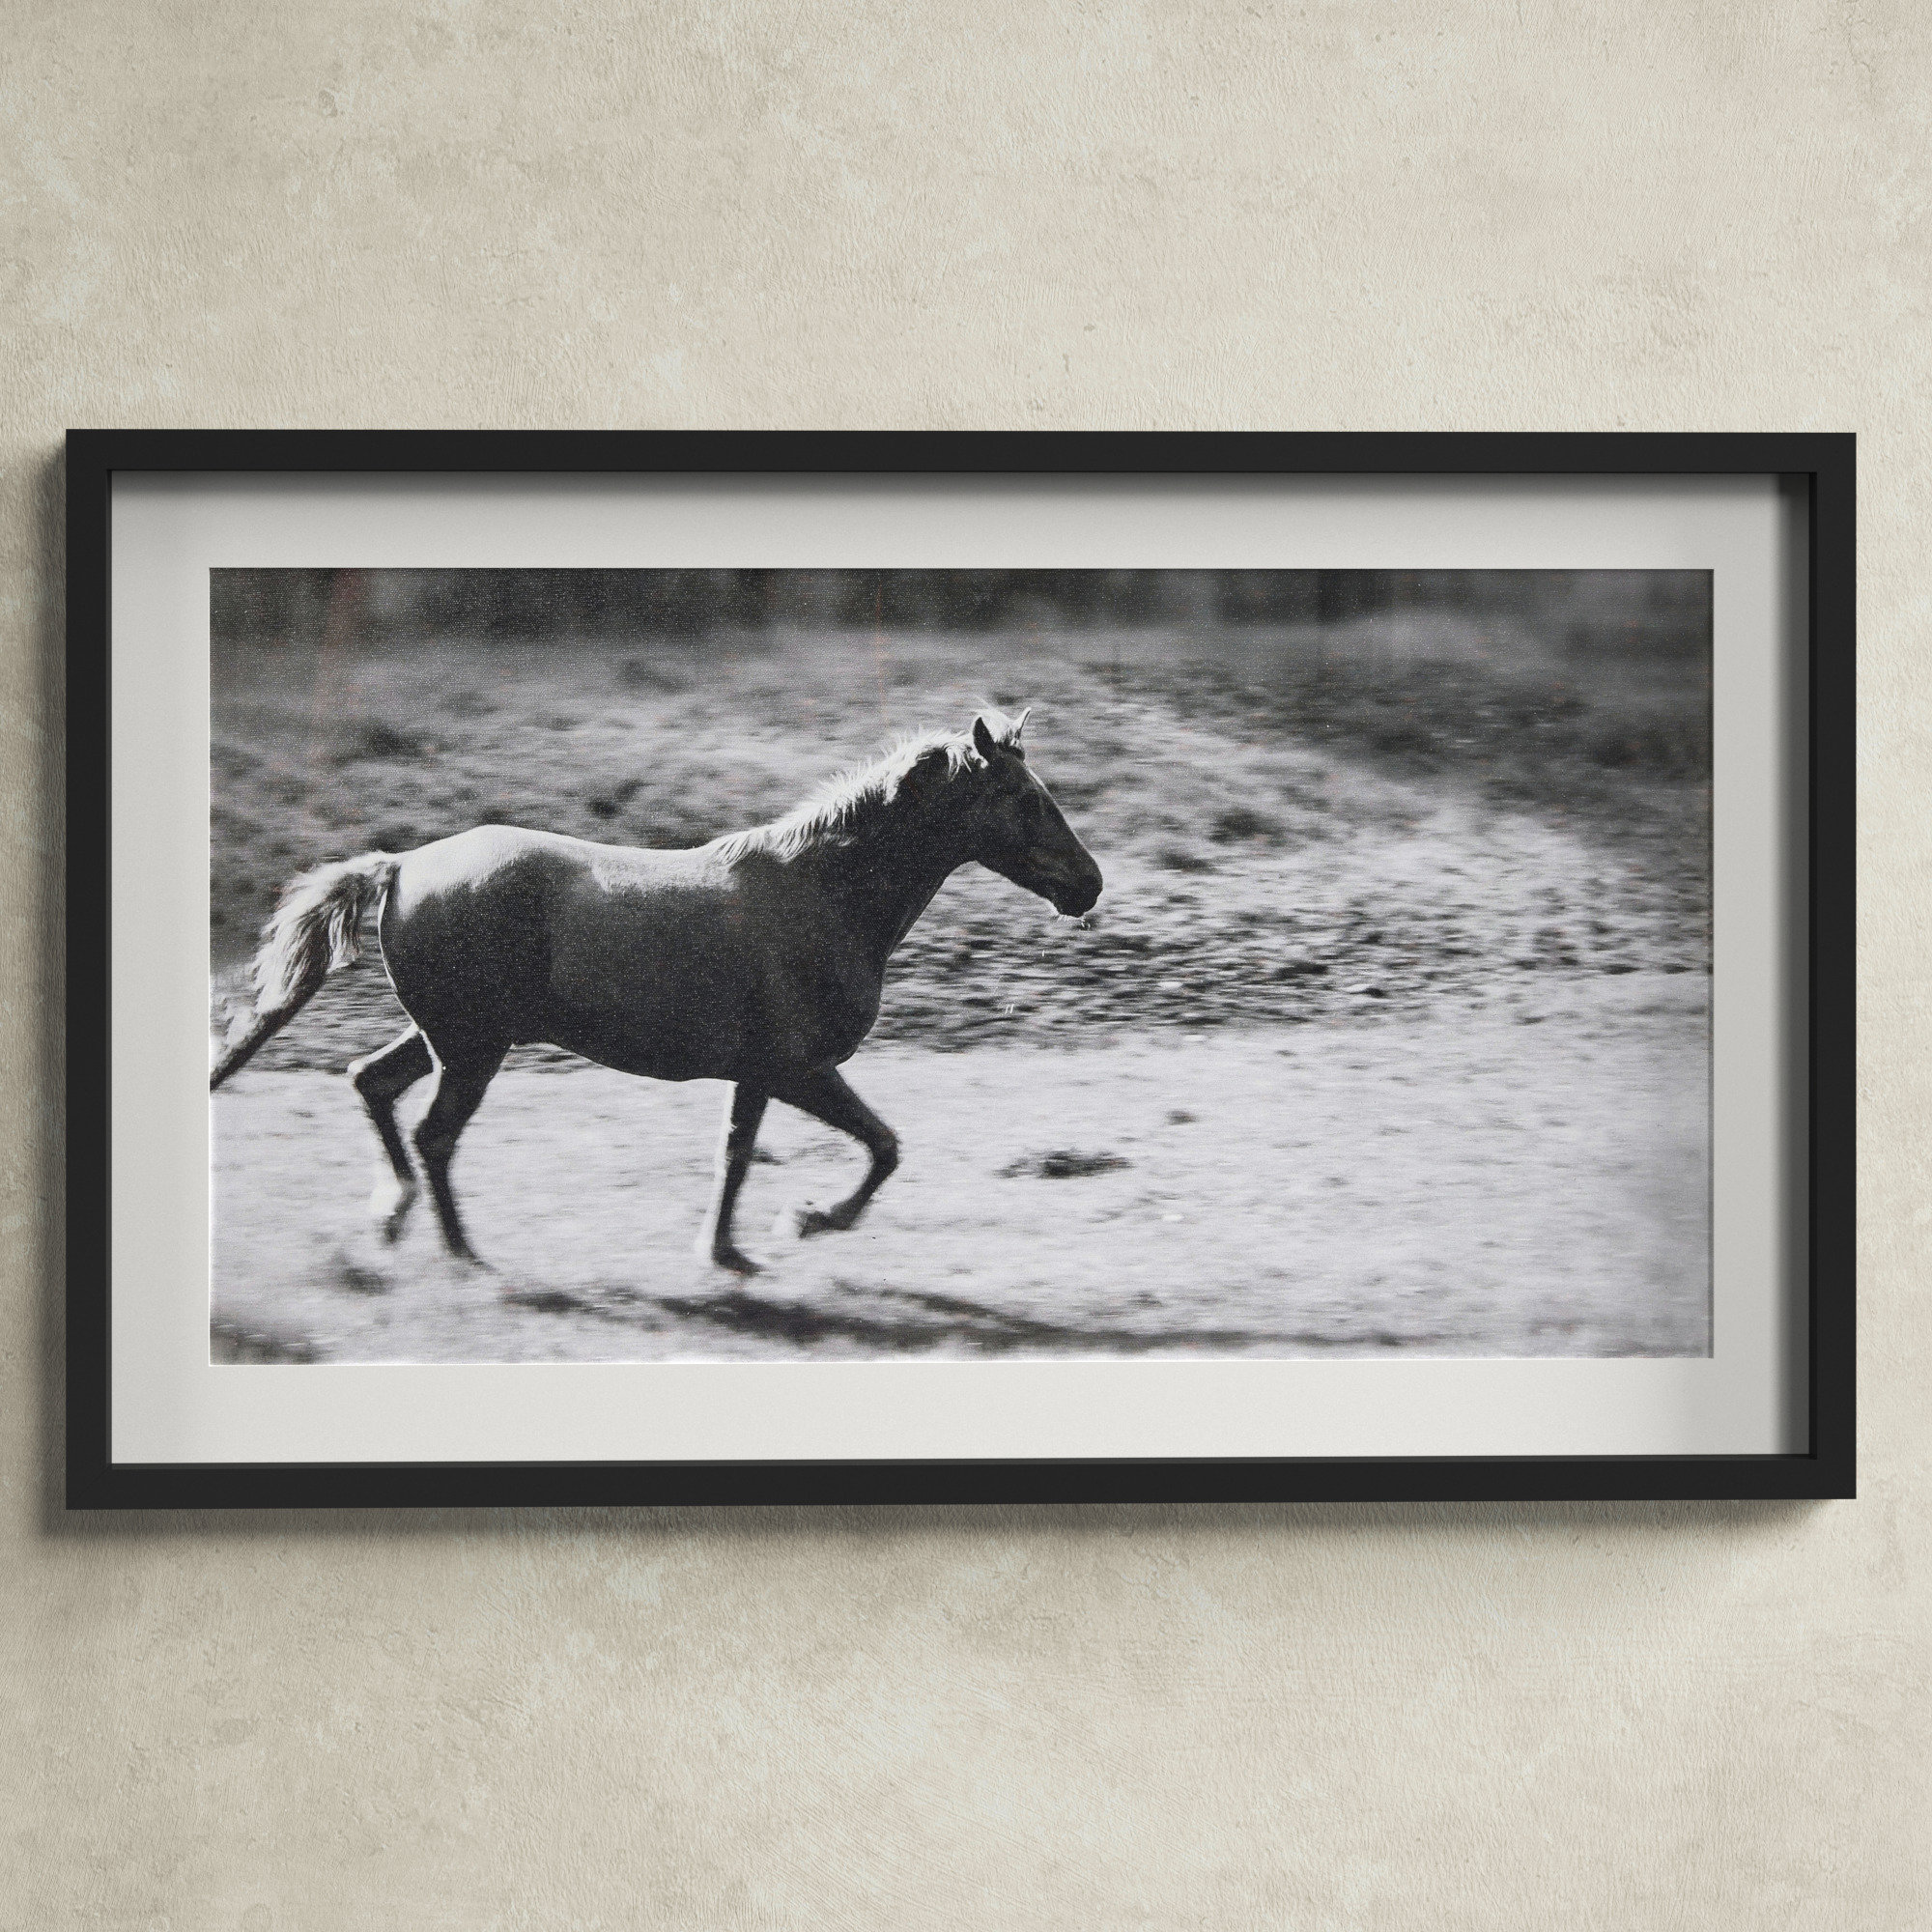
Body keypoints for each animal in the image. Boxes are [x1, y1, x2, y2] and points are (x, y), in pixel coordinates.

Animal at [209, 709, 1103, 1275]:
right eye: (1026, 799)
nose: (1088, 885)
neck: (822, 894)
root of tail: (400, 866)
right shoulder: (797, 1070)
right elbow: (880, 1147)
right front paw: (806, 1222)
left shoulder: (760, 1075)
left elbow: (740, 1157)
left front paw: (731, 1253)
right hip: (473, 1049)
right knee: (433, 1135)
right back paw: (462, 1255)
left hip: (452, 1037)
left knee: (372, 1083)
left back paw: (391, 1218)